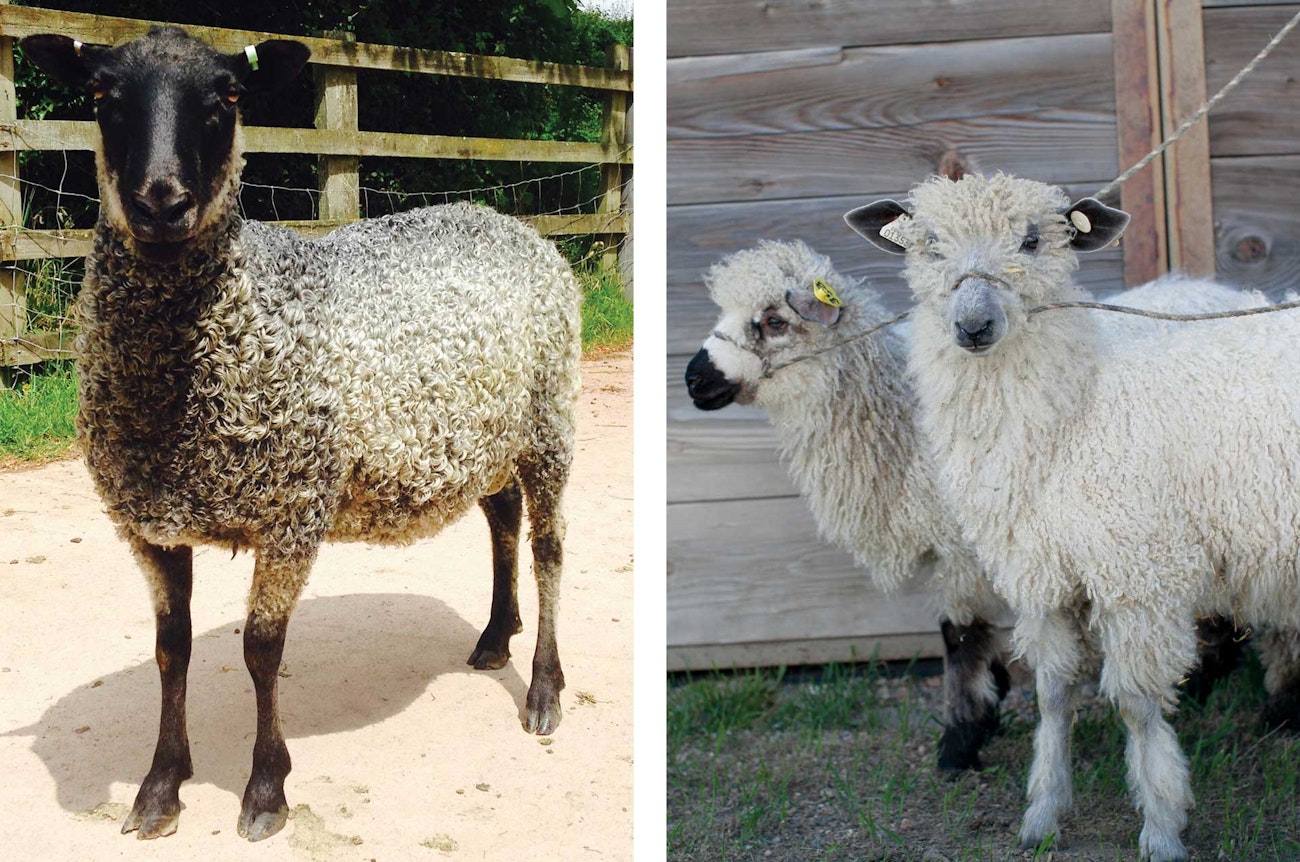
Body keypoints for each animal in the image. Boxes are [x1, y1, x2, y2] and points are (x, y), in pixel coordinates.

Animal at [21, 27, 581, 842]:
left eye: (227, 96)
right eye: (101, 94)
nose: (162, 202)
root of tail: (514, 226)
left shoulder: (292, 507)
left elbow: (261, 650)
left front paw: (264, 792)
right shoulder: (152, 524)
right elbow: (171, 648)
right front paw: (159, 789)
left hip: (549, 422)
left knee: (548, 548)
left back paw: (543, 690)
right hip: (481, 436)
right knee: (502, 521)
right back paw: (491, 637)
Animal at [845, 172, 1300, 861]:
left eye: (1033, 240)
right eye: (929, 243)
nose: (973, 325)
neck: (1077, 410)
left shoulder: (1137, 575)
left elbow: (1136, 702)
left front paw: (1161, 827)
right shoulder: (1042, 577)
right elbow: (1053, 695)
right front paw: (1044, 812)